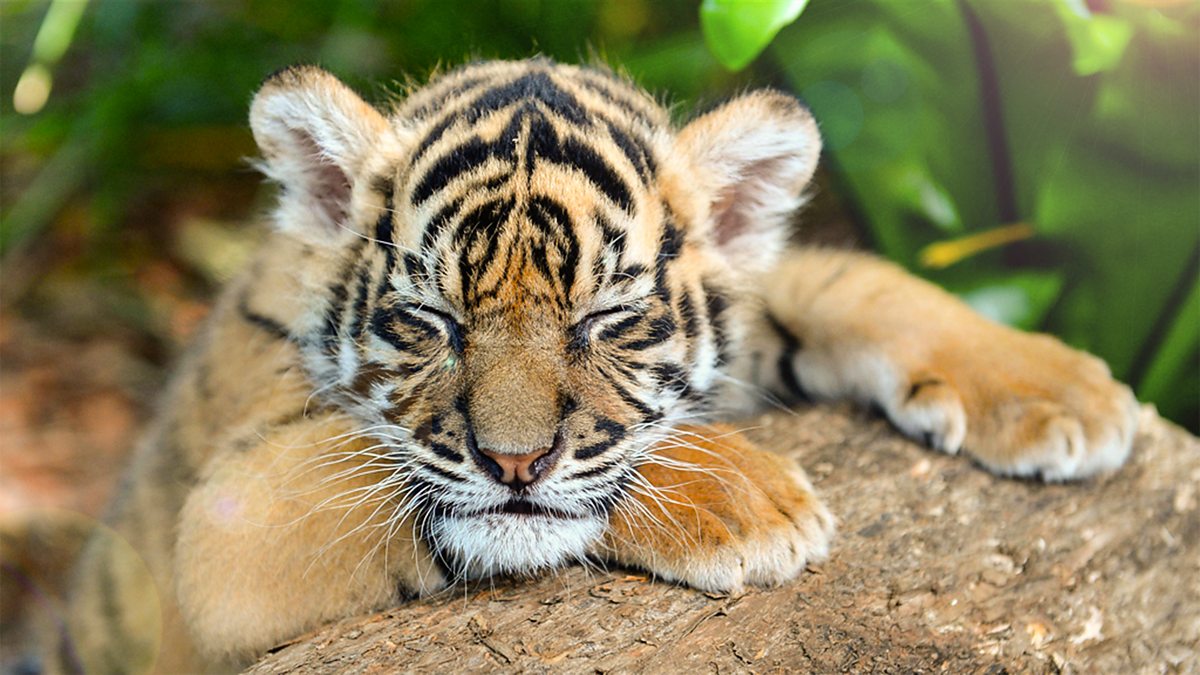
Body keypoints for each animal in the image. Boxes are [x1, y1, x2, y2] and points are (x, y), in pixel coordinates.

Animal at [58, 58, 1139, 673]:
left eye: (606, 320)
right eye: (433, 321)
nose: (513, 463)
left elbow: (850, 283)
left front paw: (1063, 393)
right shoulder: (226, 525)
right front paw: (748, 506)